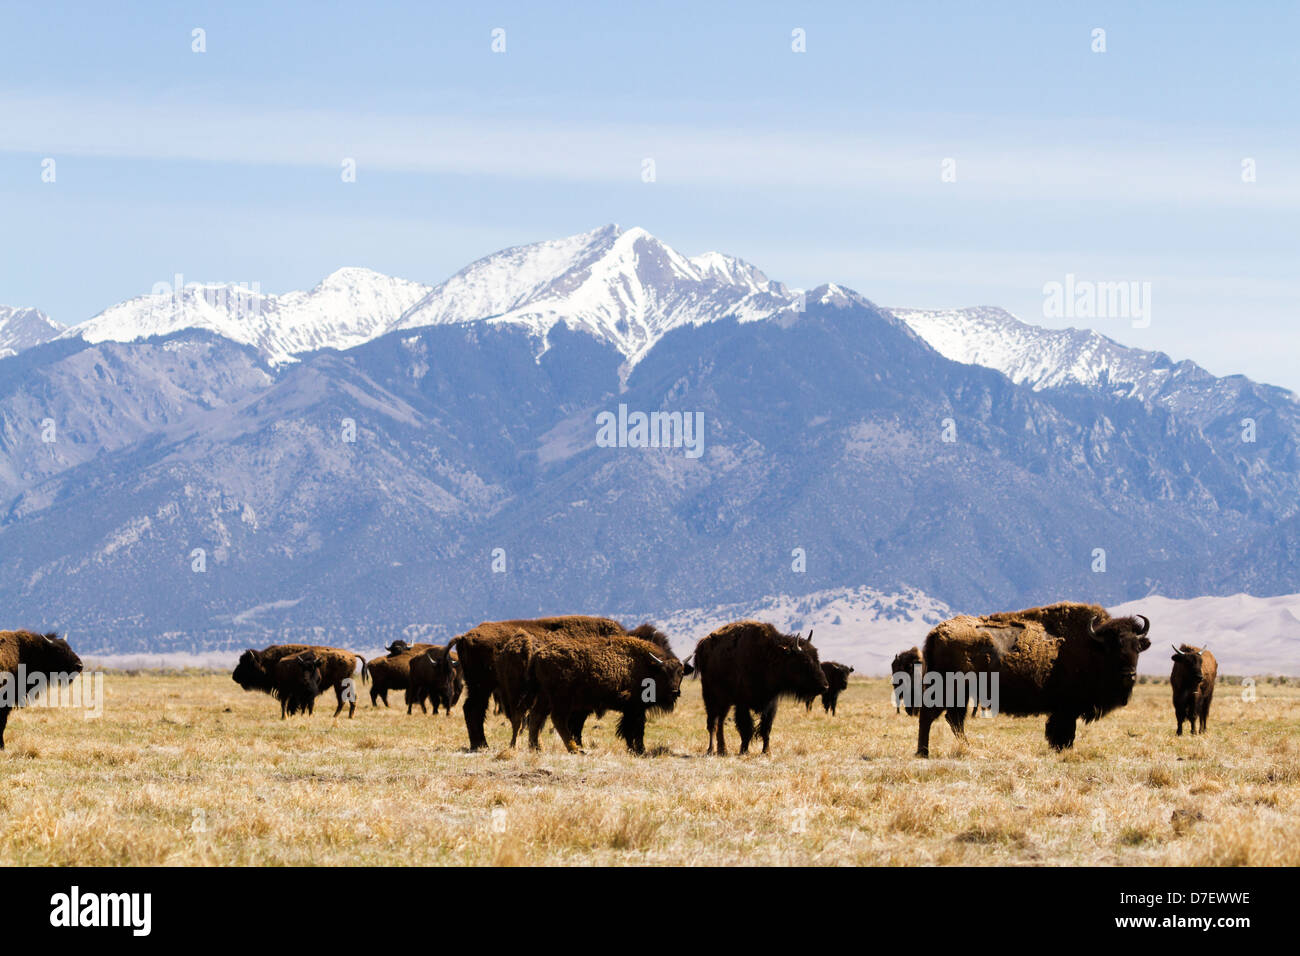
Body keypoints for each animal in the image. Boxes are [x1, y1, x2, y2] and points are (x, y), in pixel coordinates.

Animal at [232, 644, 368, 718]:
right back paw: (348, 716)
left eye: (246, 664)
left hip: (339, 683)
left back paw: (336, 716)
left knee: (342, 699)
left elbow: (292, 704)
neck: (268, 662)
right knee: (350, 698)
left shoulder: (290, 691)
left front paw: (291, 714)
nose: (234, 676)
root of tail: (352, 655)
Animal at [692, 621, 828, 755]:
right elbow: (746, 727)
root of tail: (701, 645)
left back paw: (722, 750)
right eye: (804, 661)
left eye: (817, 657)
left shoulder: (770, 703)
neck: (769, 656)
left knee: (720, 722)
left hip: (725, 702)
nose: (825, 686)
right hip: (711, 697)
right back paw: (711, 750)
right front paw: (744, 751)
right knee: (713, 723)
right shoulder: (742, 703)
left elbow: (766, 728)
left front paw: (766, 751)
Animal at [915, 602, 1151, 757]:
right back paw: (925, 752)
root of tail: (936, 633)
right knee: (933, 717)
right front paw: (1063, 749)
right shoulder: (1066, 709)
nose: (1129, 675)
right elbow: (1063, 730)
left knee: (952, 719)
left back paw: (962, 748)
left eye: (1137, 647)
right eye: (1112, 647)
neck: (1092, 645)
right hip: (950, 690)